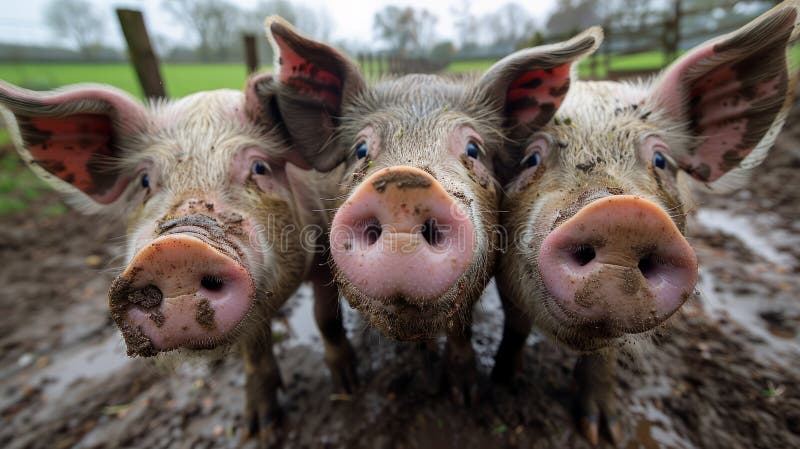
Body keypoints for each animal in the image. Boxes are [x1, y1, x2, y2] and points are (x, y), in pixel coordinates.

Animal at [0, 74, 351, 446]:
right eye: (144, 181)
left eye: (260, 167)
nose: (176, 250)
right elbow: (254, 352)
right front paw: (258, 428)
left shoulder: (326, 254)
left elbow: (326, 317)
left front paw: (347, 387)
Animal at [491, 2, 800, 445]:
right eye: (531, 158)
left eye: (661, 160)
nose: (624, 215)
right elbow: (515, 324)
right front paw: (500, 387)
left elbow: (603, 356)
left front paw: (603, 432)